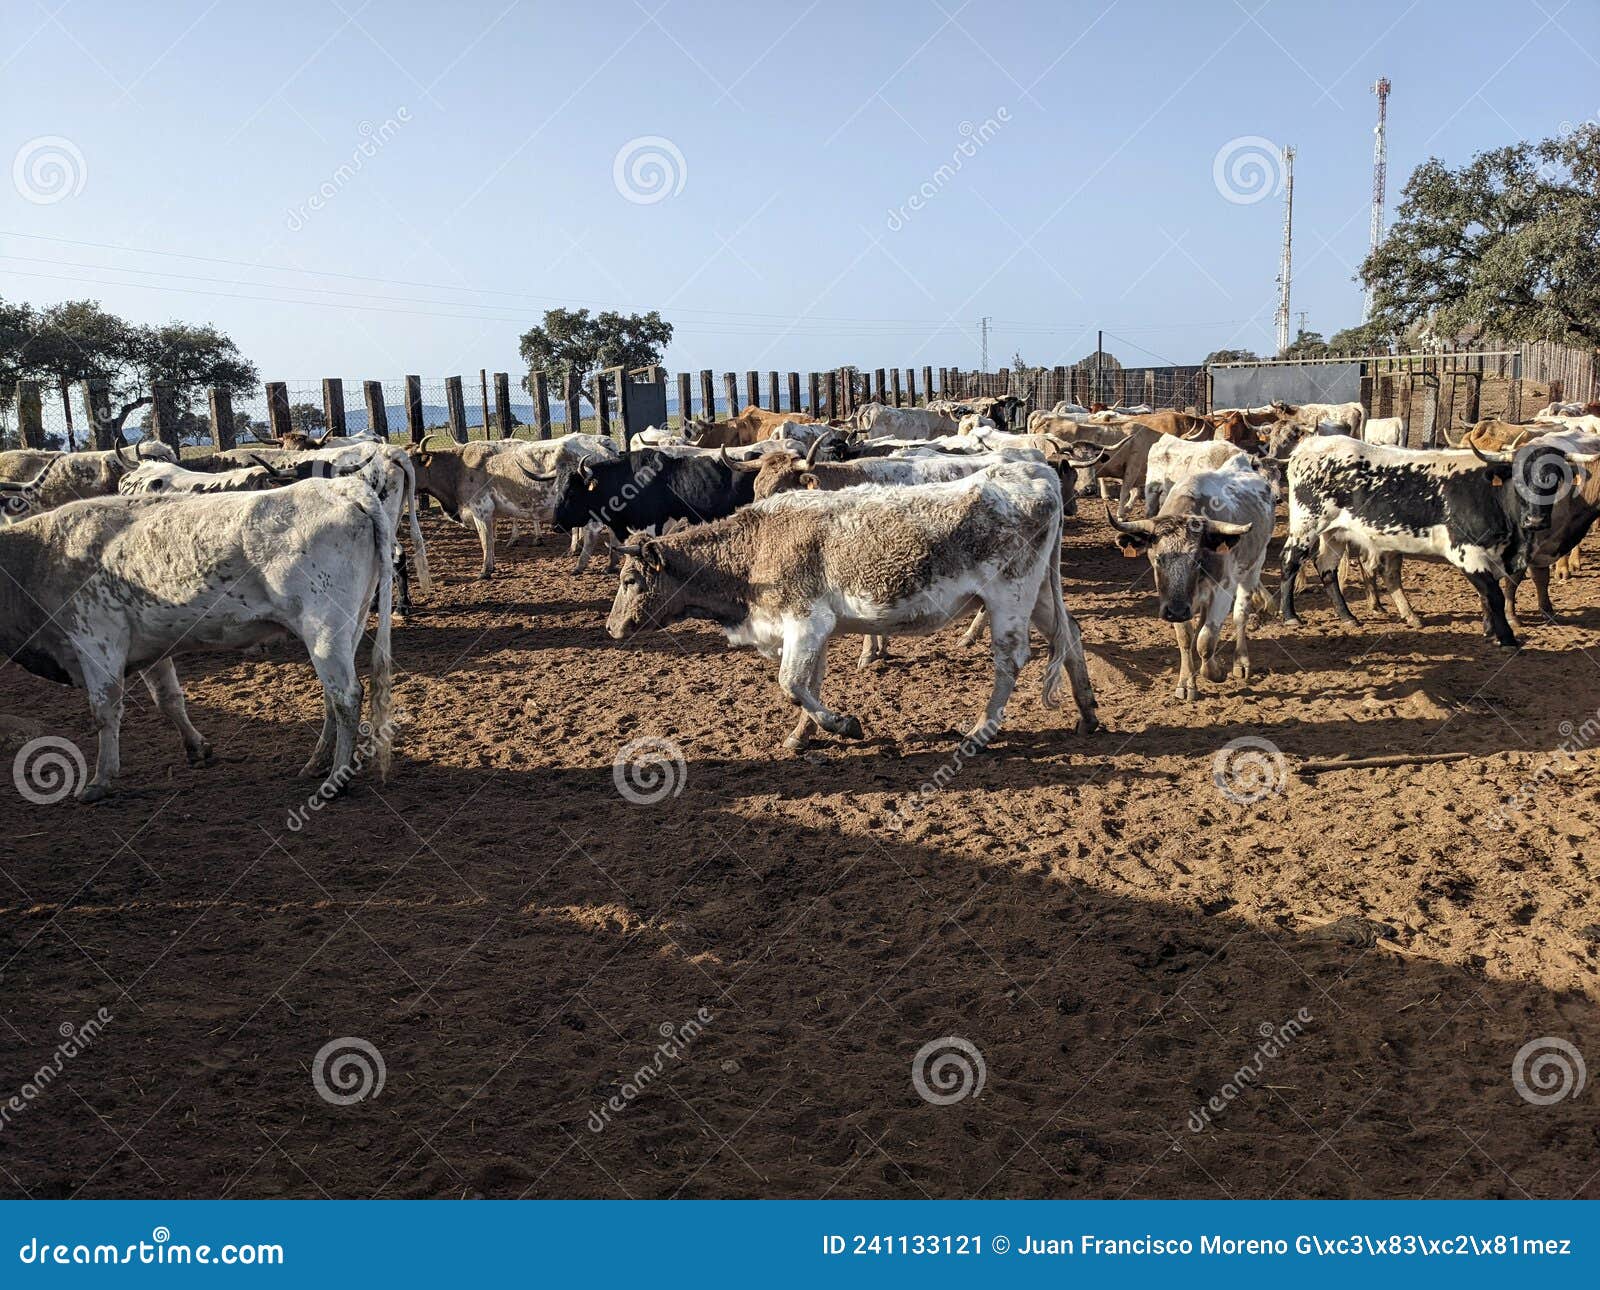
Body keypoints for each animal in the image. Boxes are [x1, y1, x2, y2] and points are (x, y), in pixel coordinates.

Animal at [0, 456, 399, 801]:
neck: (38, 556)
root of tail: (344, 488)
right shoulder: (151, 648)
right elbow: (169, 700)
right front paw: (197, 748)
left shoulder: (96, 640)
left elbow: (104, 710)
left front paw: (99, 781)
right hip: (347, 625)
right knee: (332, 695)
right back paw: (317, 763)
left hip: (324, 628)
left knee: (346, 696)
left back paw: (334, 780)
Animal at [605, 460, 1100, 750]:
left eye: (630, 579)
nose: (611, 628)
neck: (756, 549)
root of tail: (1037, 474)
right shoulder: (812, 630)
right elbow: (810, 683)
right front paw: (801, 735)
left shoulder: (805, 621)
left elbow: (791, 683)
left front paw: (843, 725)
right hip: (1039, 594)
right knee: (1070, 635)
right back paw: (1088, 714)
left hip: (1009, 597)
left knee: (1011, 659)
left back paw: (979, 731)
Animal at [1107, 460, 1275, 699]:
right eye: (1158, 559)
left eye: (1197, 560)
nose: (1176, 611)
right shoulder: (1174, 602)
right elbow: (1186, 638)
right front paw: (1186, 682)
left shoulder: (1222, 591)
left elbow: (1207, 639)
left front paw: (1215, 672)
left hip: (1254, 567)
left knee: (1240, 616)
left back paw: (1241, 661)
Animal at [1278, 436, 1587, 648]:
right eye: (1520, 479)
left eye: (1554, 479)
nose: (1535, 521)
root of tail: (1310, 445)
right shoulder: (1467, 552)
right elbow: (1494, 596)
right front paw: (1506, 638)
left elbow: (1489, 595)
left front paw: (1490, 631)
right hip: (1306, 525)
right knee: (1290, 562)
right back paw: (1290, 614)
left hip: (1335, 533)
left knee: (1326, 568)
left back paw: (1347, 616)